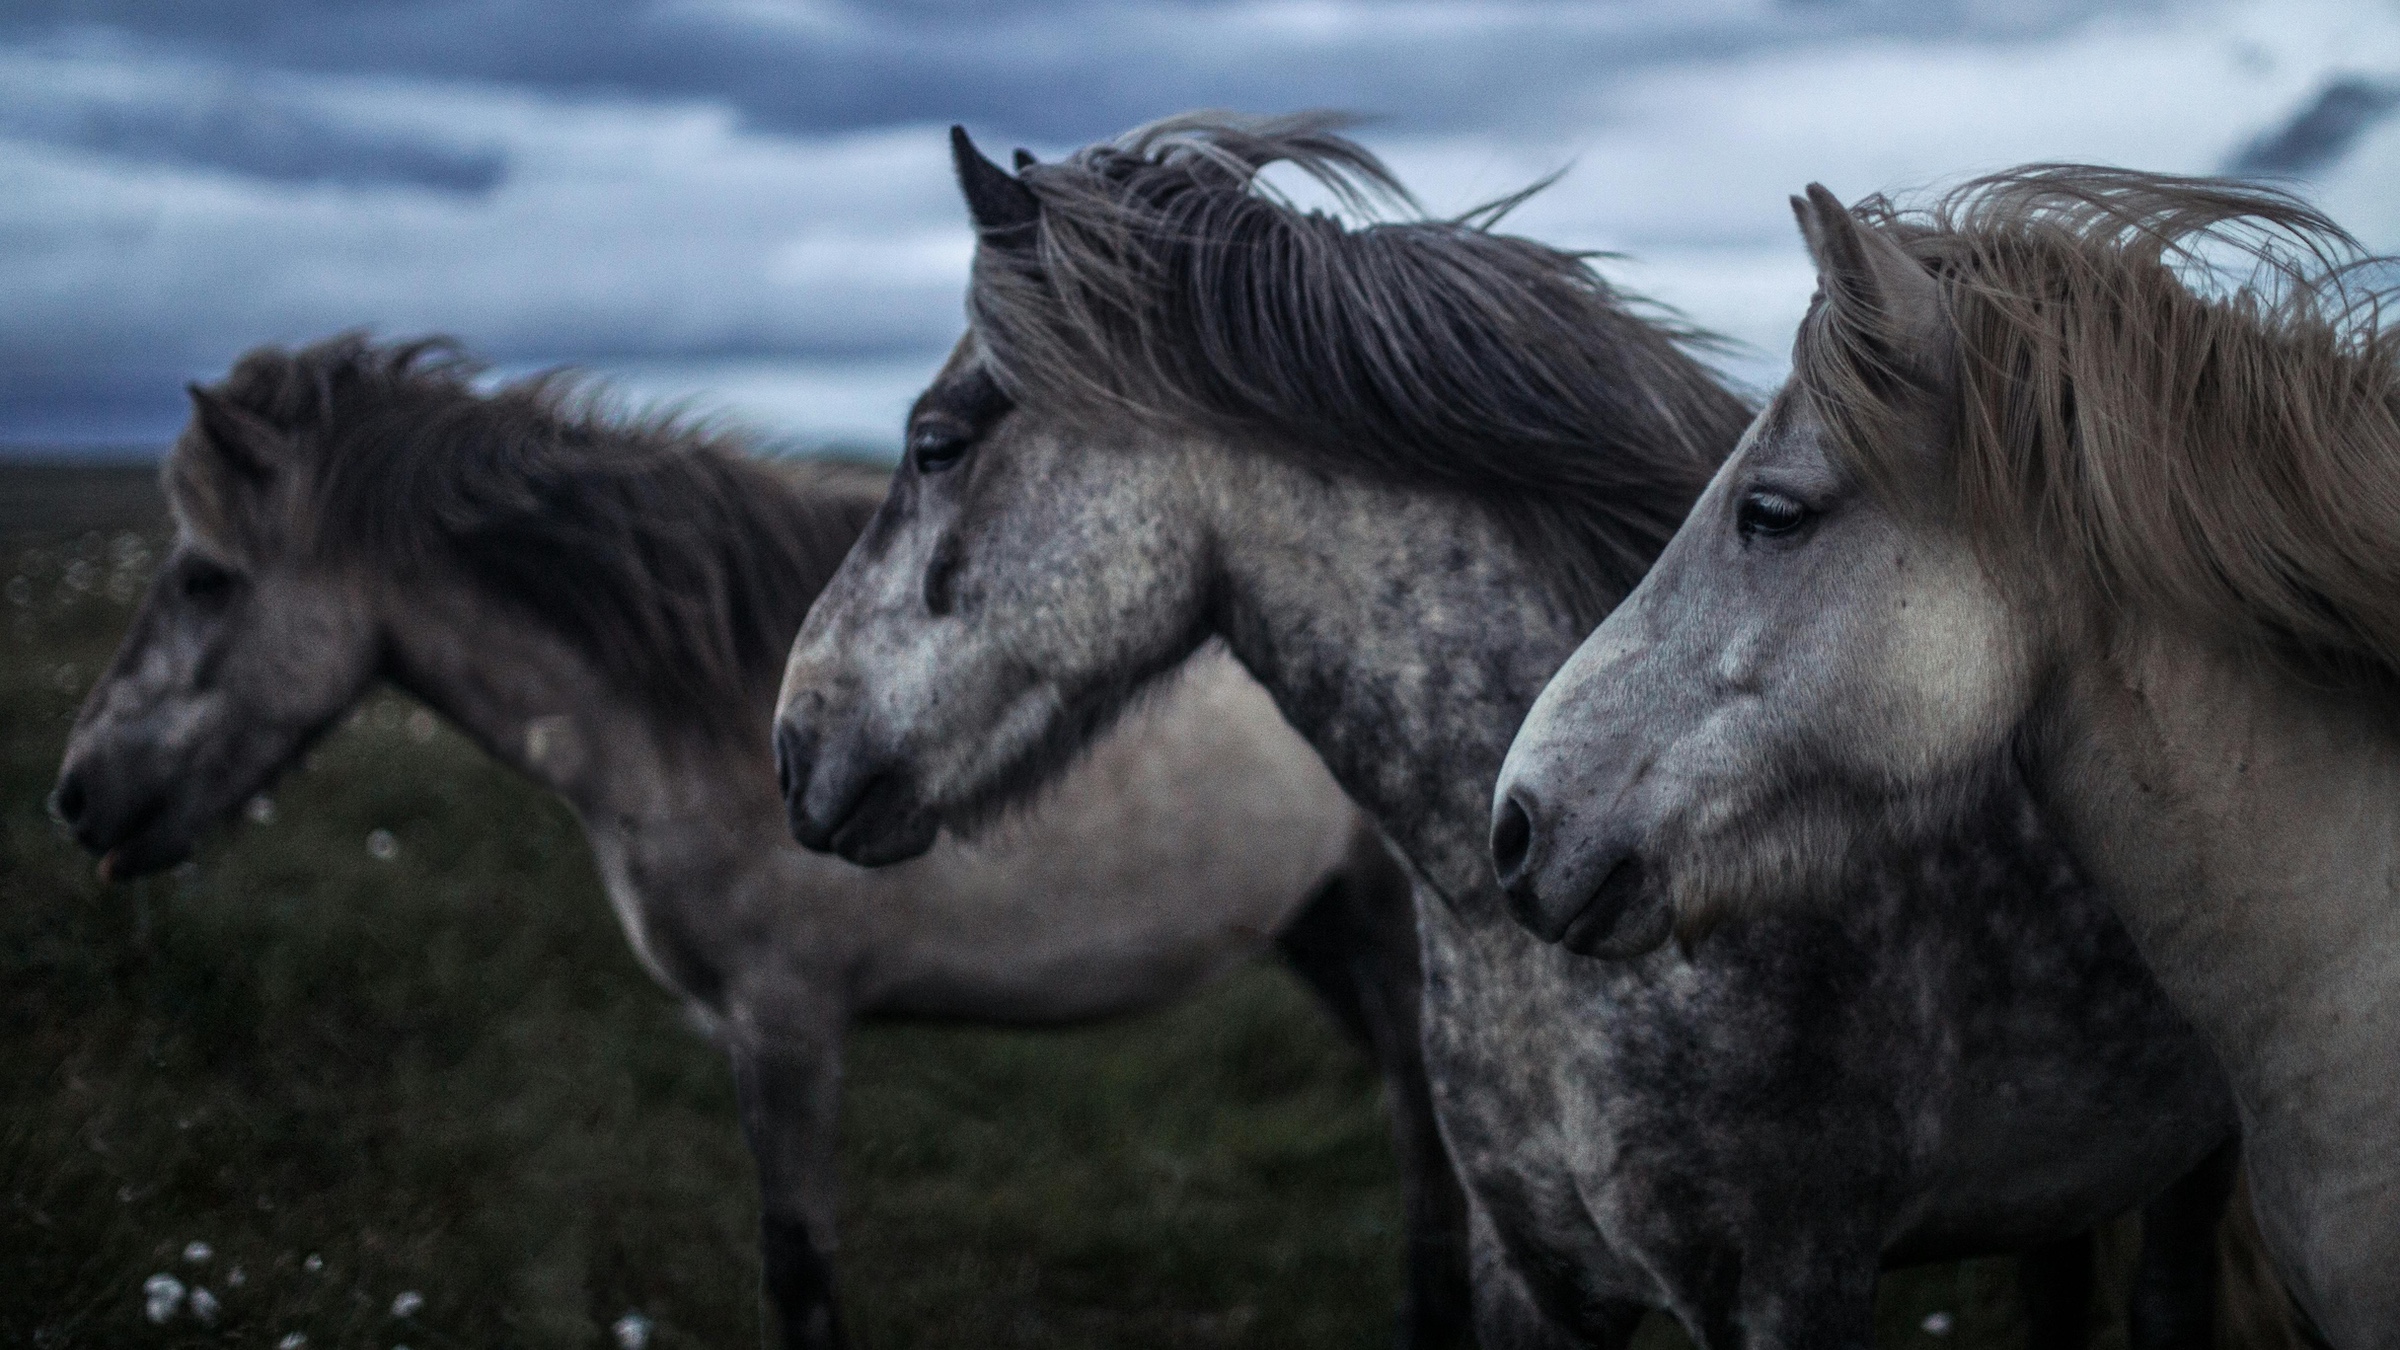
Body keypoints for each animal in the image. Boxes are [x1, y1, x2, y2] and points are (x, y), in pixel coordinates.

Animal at [46, 335, 1474, 1350]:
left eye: (205, 579)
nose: (74, 798)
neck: (695, 703)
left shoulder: (783, 1026)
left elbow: (799, 1276)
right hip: (1325, 933)